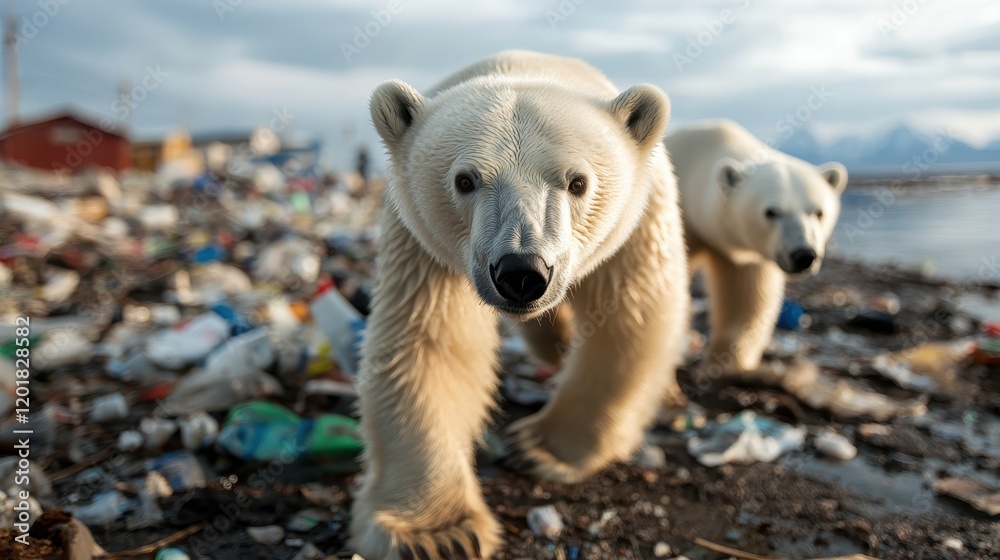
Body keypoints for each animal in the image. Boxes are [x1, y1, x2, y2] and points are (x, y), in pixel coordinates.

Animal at [351, 50, 690, 560]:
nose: (522, 272)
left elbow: (629, 321)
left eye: (578, 182)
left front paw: (539, 449)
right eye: (465, 180)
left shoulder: (635, 222)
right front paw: (438, 534)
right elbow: (428, 346)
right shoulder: (424, 248)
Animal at [664, 119, 847, 379]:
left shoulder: (748, 256)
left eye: (818, 212)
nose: (803, 255)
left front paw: (724, 365)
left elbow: (747, 302)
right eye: (771, 212)